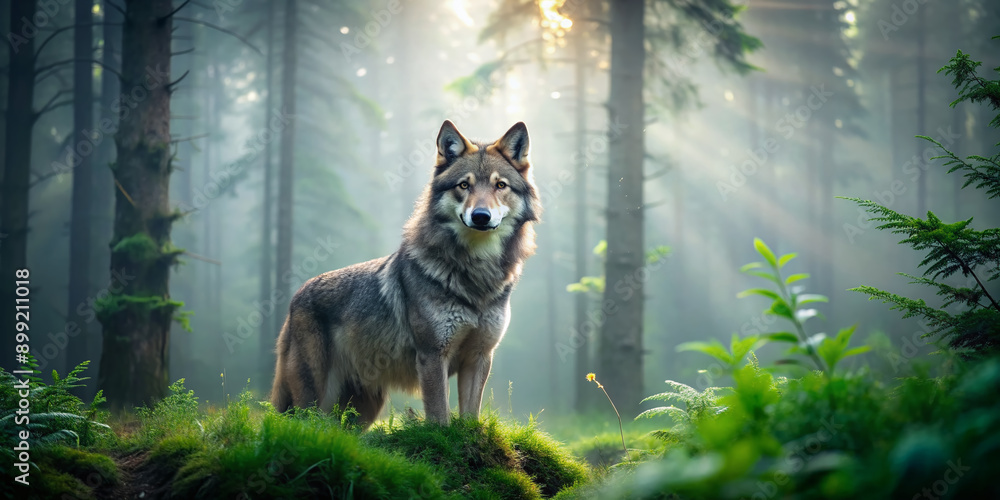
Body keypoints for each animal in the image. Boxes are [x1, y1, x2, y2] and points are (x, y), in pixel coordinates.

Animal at [270, 120, 541, 428]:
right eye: (464, 185)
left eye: (500, 185)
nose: (481, 216)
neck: (475, 273)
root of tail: (297, 295)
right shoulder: (432, 356)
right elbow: (439, 417)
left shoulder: (479, 357)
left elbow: (470, 419)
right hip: (312, 401)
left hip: (363, 409)